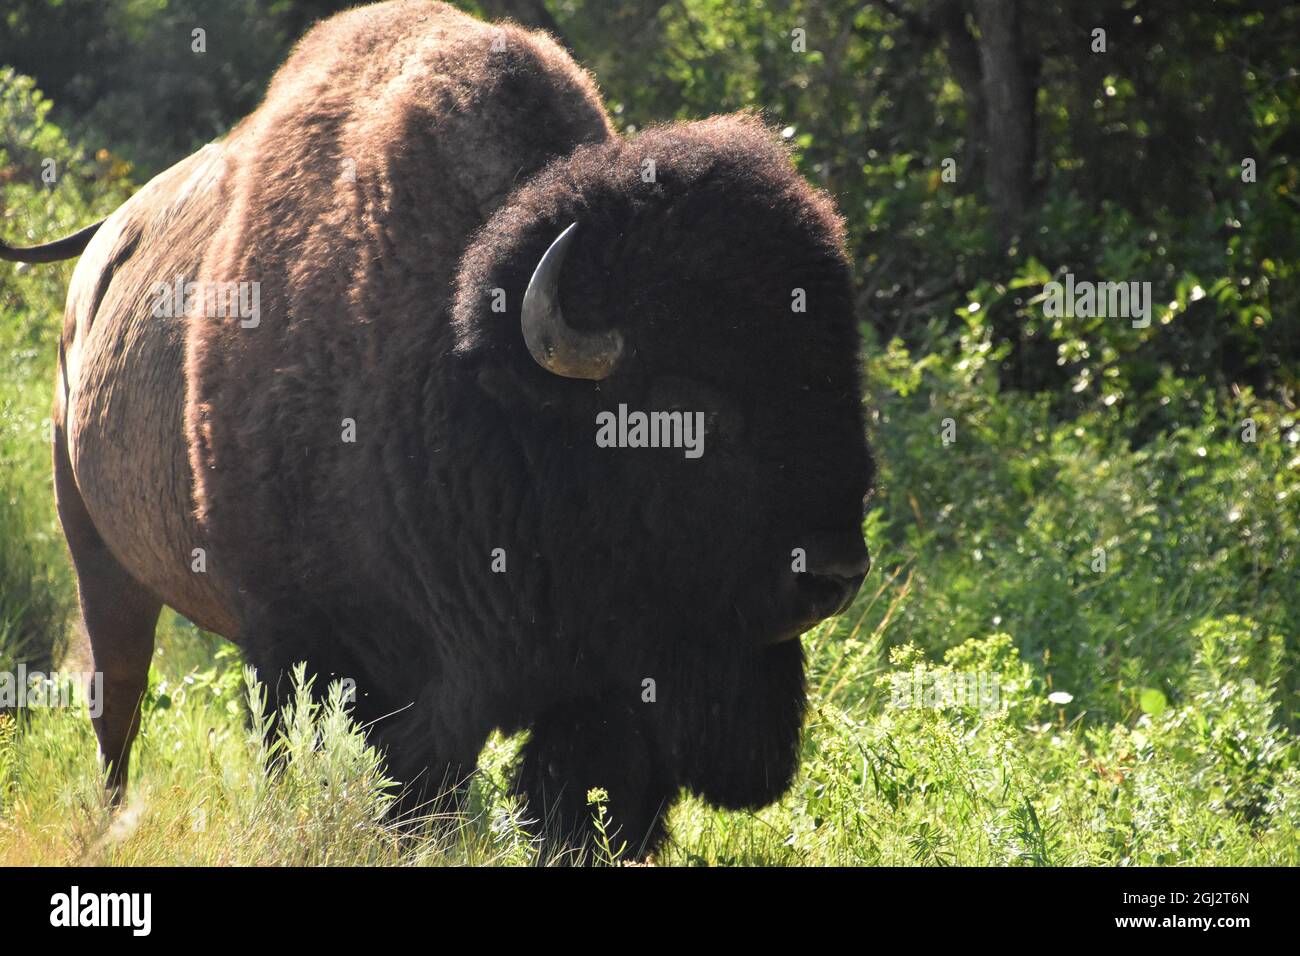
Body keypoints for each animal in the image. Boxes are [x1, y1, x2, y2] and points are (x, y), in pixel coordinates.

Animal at [2, 0, 873, 855]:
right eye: (692, 409)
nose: (836, 573)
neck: (470, 382)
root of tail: (99, 253)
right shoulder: (297, 639)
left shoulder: (595, 682)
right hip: (95, 552)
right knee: (118, 696)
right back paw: (111, 822)